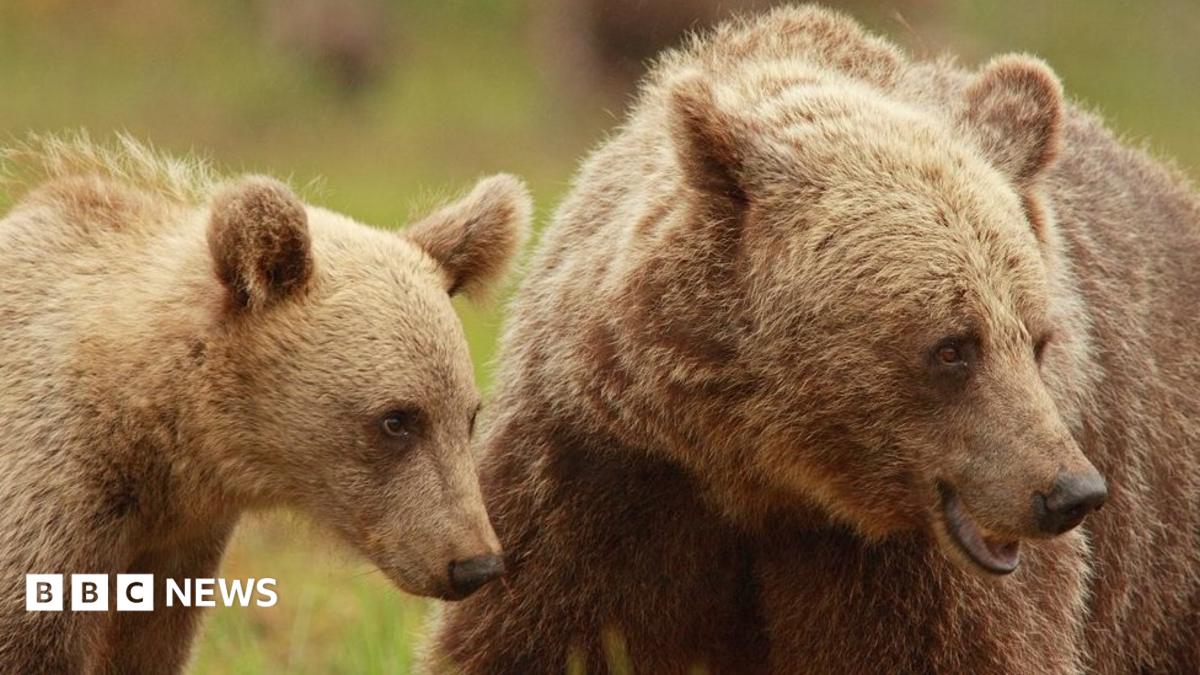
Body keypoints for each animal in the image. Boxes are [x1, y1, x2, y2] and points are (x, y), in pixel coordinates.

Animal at [429, 6, 1200, 674]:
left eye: (1039, 341)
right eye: (953, 346)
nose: (1070, 491)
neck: (762, 473)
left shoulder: (907, 577)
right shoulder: (598, 482)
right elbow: (533, 635)